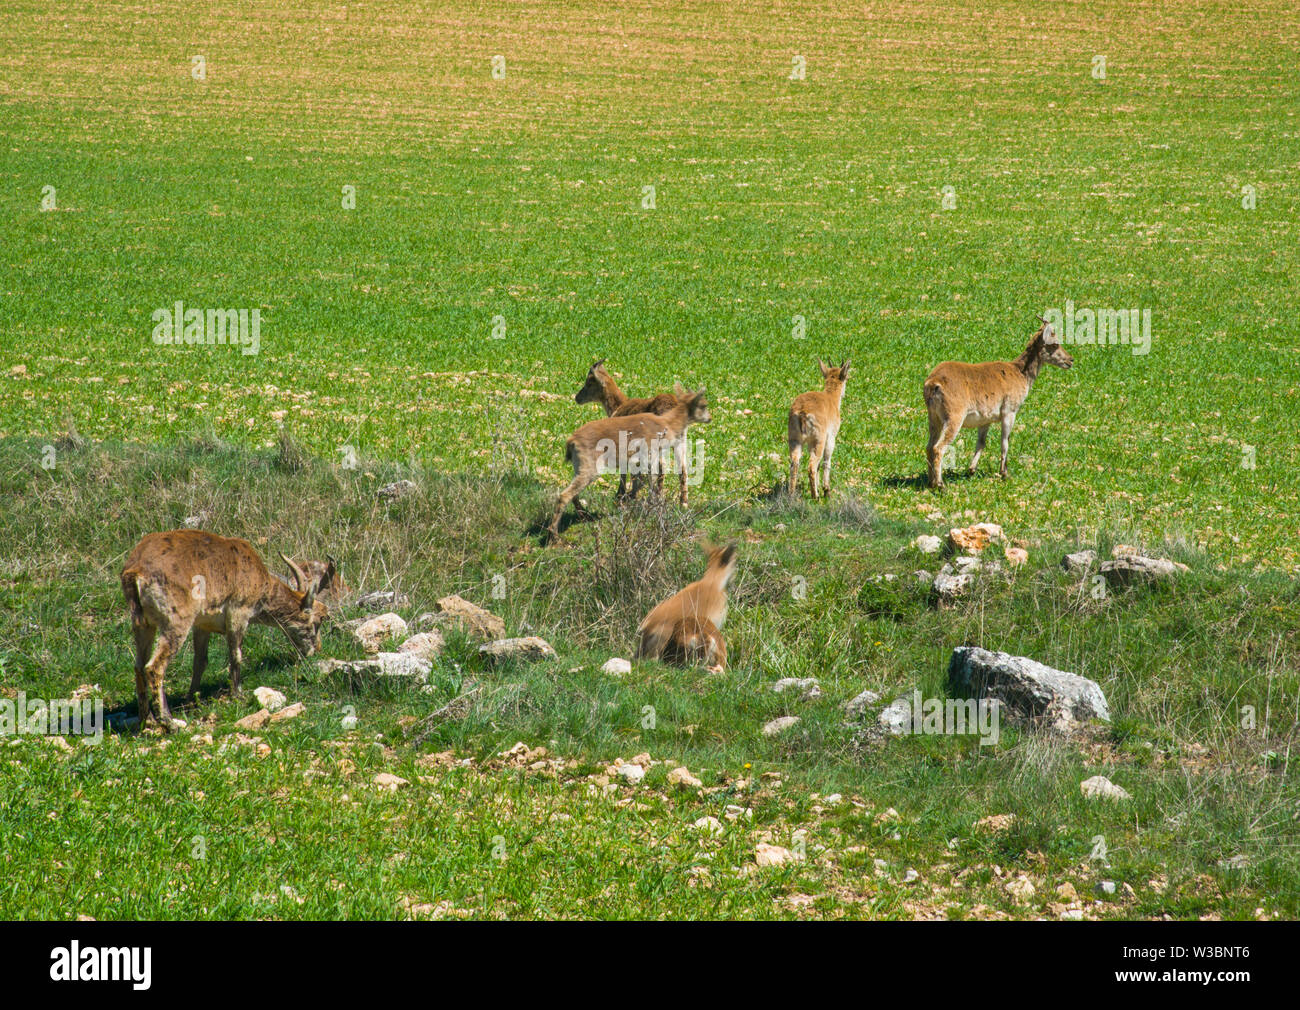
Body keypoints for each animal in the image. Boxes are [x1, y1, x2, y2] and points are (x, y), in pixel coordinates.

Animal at [120, 530, 335, 730]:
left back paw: (147, 719)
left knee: (139, 665)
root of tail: (135, 572)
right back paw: (169, 723)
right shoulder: (239, 612)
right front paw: (237, 695)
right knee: (154, 667)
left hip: (142, 622)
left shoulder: (202, 624)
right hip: (176, 621)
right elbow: (236, 655)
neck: (260, 582)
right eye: (320, 618)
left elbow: (200, 661)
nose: (316, 649)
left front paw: (191, 700)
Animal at [548, 386, 711, 541]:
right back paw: (554, 535)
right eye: (704, 404)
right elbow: (651, 481)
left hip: (579, 467)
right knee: (565, 495)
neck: (667, 424)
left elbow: (641, 481)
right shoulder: (650, 456)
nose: (710, 418)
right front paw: (651, 507)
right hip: (590, 467)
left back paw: (584, 516)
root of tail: (570, 442)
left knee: (572, 493)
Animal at [788, 359, 851, 498]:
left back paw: (791, 495)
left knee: (795, 463)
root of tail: (802, 412)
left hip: (795, 439)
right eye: (847, 377)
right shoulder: (831, 437)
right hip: (818, 440)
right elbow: (826, 461)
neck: (831, 399)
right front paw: (827, 490)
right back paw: (815, 497)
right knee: (811, 466)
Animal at [923, 320, 1074, 489]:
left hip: (933, 417)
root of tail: (933, 383)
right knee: (938, 448)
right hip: (954, 416)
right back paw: (940, 485)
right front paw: (1004, 474)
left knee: (929, 446)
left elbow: (981, 443)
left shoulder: (985, 419)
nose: (1070, 360)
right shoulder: (1010, 411)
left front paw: (972, 470)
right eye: (1055, 343)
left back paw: (931, 482)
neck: (1020, 374)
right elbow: (1005, 442)